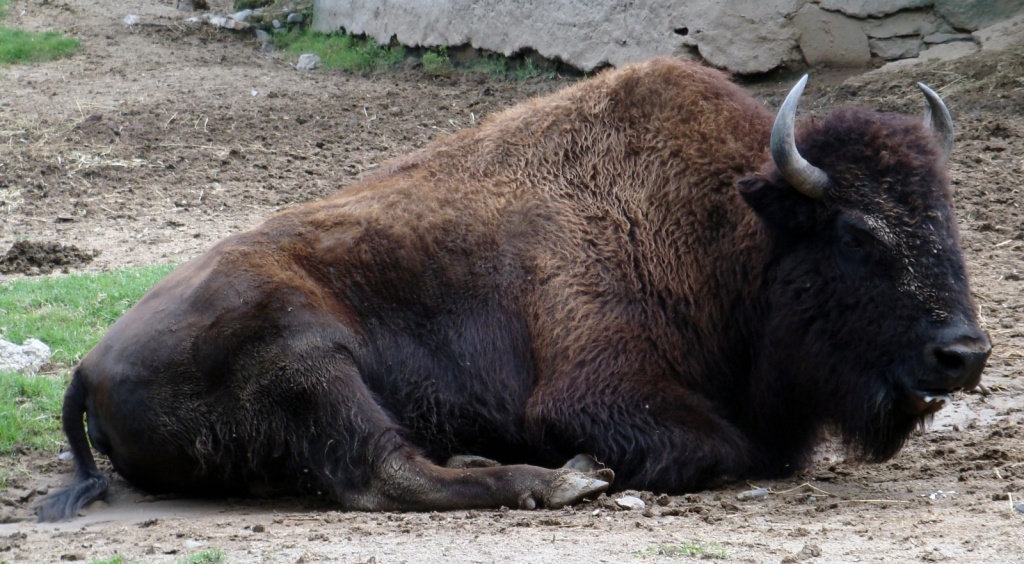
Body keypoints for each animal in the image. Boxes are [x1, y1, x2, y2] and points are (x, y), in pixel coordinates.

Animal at [39, 58, 990, 521]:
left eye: (947, 216)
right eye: (856, 234)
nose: (965, 353)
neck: (729, 222)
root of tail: (87, 363)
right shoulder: (598, 390)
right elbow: (719, 448)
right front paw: (588, 466)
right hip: (305, 348)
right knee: (382, 475)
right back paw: (559, 482)